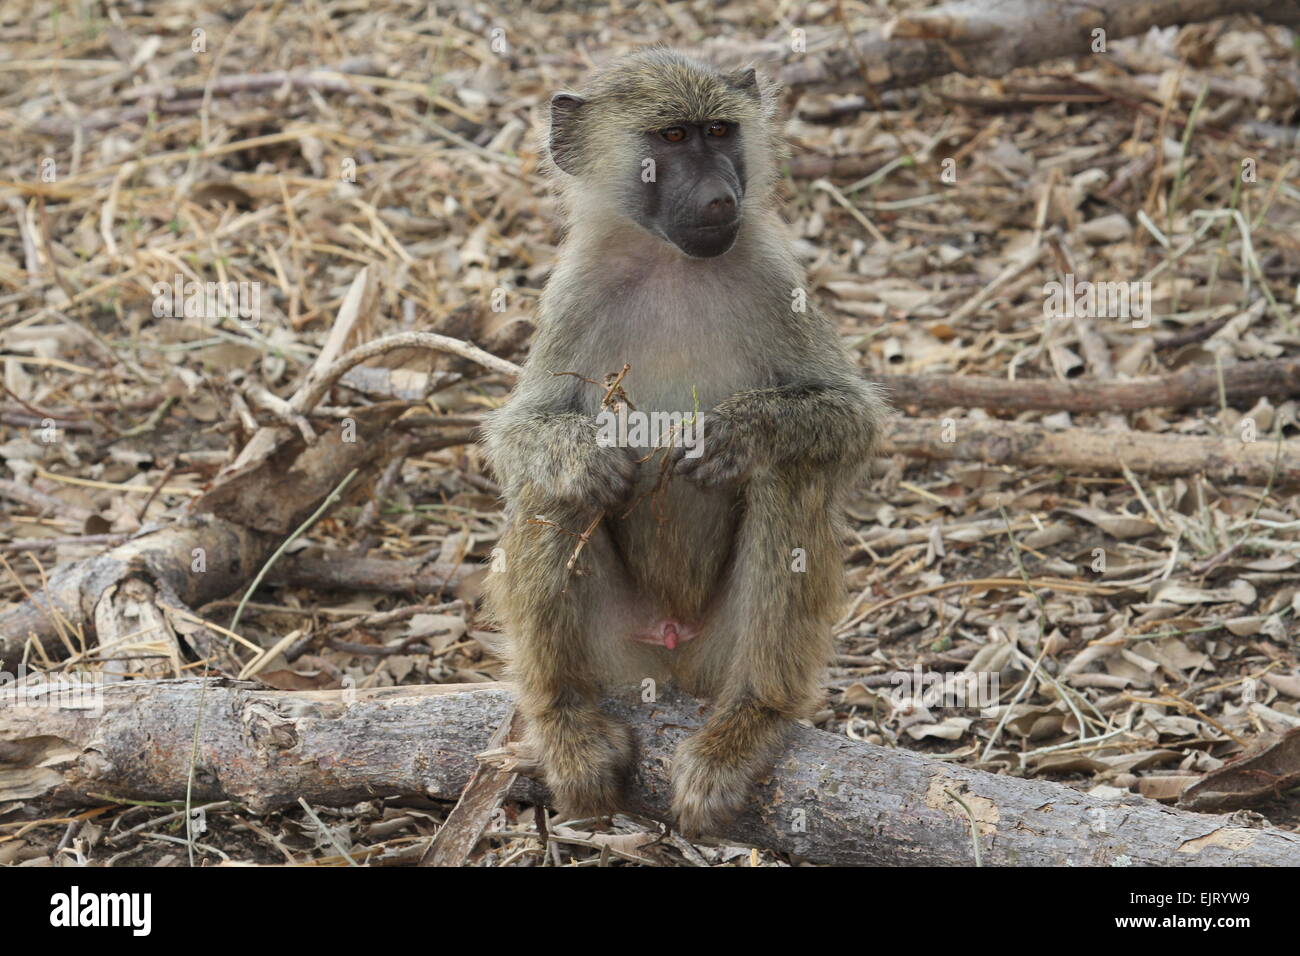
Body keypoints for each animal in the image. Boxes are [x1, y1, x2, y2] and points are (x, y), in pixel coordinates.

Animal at [482, 47, 887, 836]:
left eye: (720, 131)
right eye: (670, 138)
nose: (720, 198)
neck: (671, 260)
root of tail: (670, 656)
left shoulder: (775, 276)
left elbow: (852, 423)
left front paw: (743, 431)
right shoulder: (572, 292)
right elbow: (523, 437)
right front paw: (587, 454)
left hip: (716, 650)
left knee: (790, 479)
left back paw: (747, 724)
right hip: (615, 650)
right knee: (550, 496)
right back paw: (565, 719)